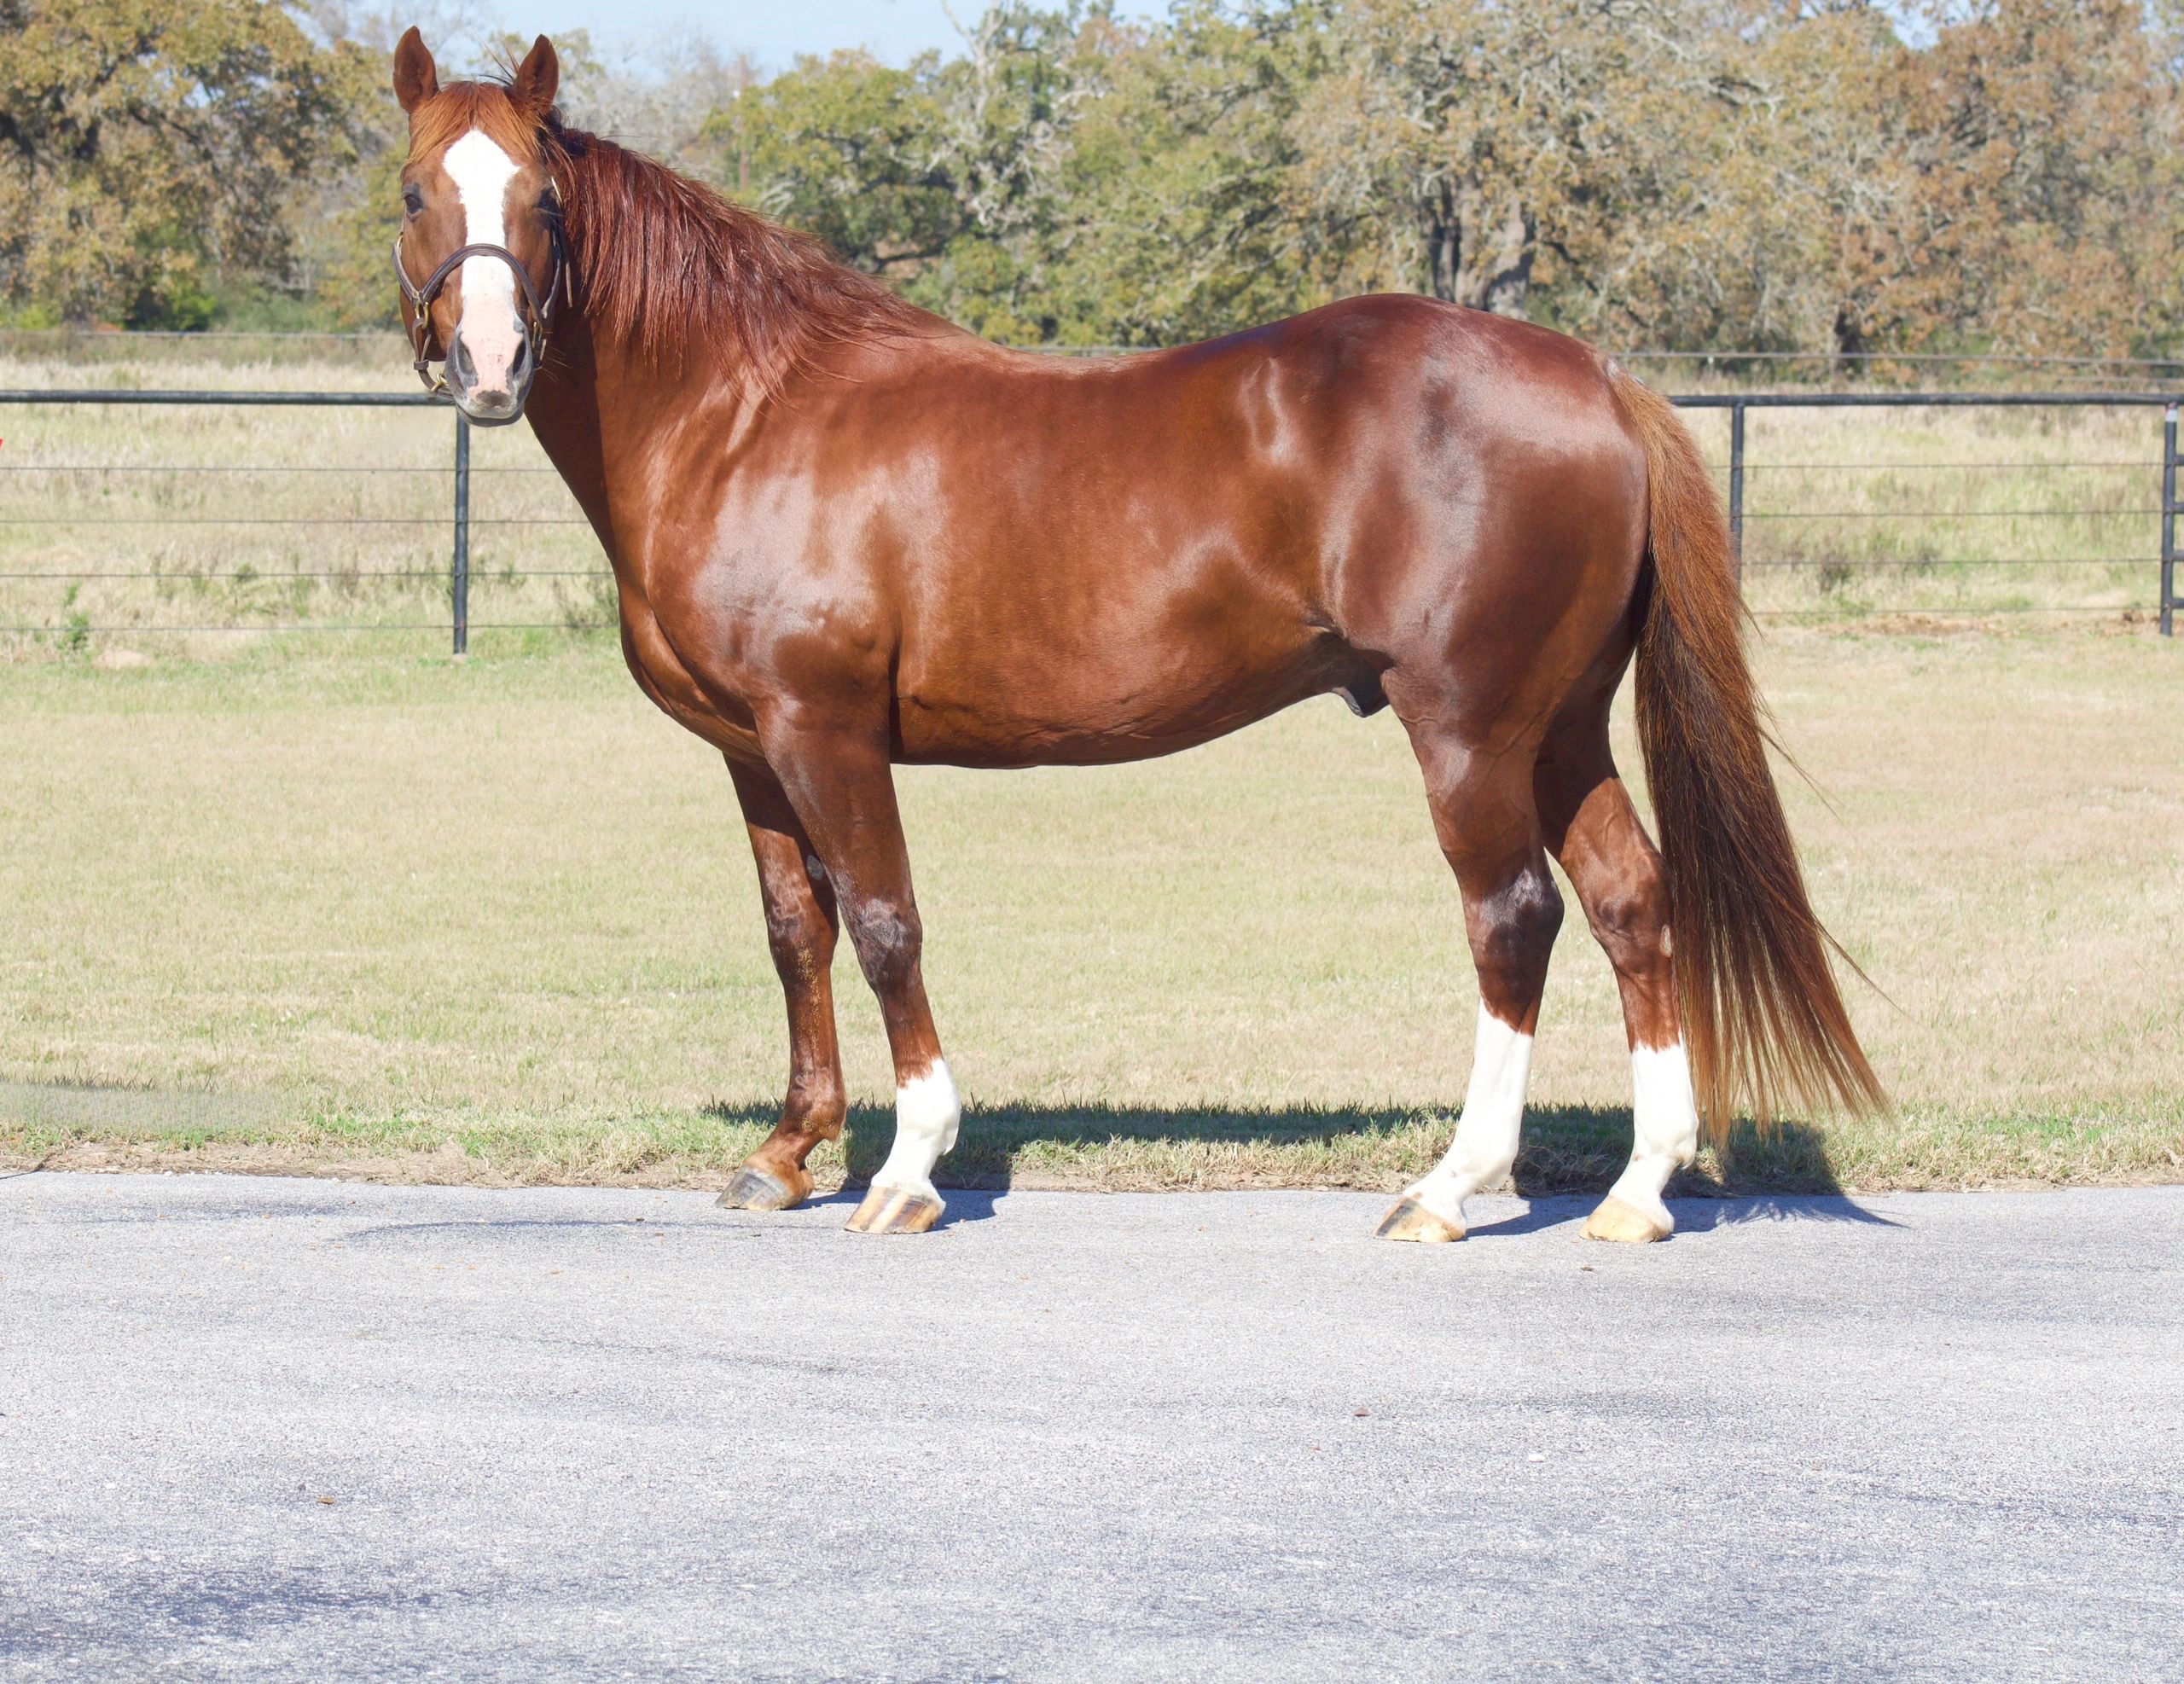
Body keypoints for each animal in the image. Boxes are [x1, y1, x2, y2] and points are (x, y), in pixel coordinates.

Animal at [389, 30, 1884, 1241]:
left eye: (543, 197)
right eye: (413, 190)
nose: (489, 368)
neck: (748, 414)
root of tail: (1598, 376)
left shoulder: (826, 732)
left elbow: (883, 923)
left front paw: (907, 1168)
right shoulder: (751, 750)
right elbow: (794, 933)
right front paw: (787, 1149)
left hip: (1470, 730)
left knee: (1512, 916)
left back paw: (1453, 1186)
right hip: (1559, 725)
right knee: (1633, 902)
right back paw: (1638, 1190)